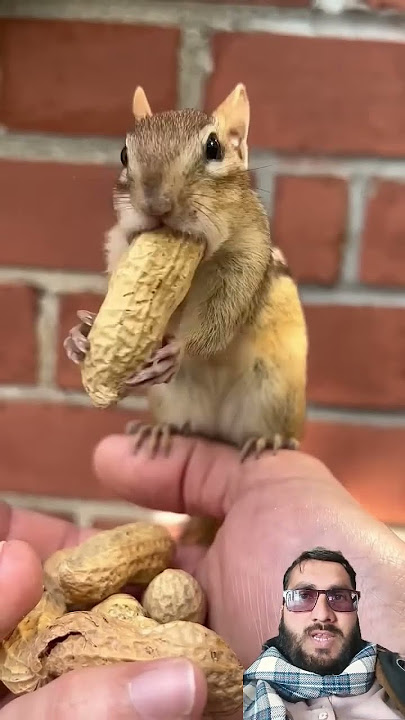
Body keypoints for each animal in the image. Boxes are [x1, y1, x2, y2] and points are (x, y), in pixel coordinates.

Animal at [64, 83, 308, 544]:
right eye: (123, 154)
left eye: (214, 148)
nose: (156, 204)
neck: (199, 261)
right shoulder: (122, 250)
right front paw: (80, 336)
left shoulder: (245, 263)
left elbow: (223, 314)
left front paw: (178, 349)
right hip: (174, 401)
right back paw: (159, 431)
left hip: (271, 394)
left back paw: (267, 441)